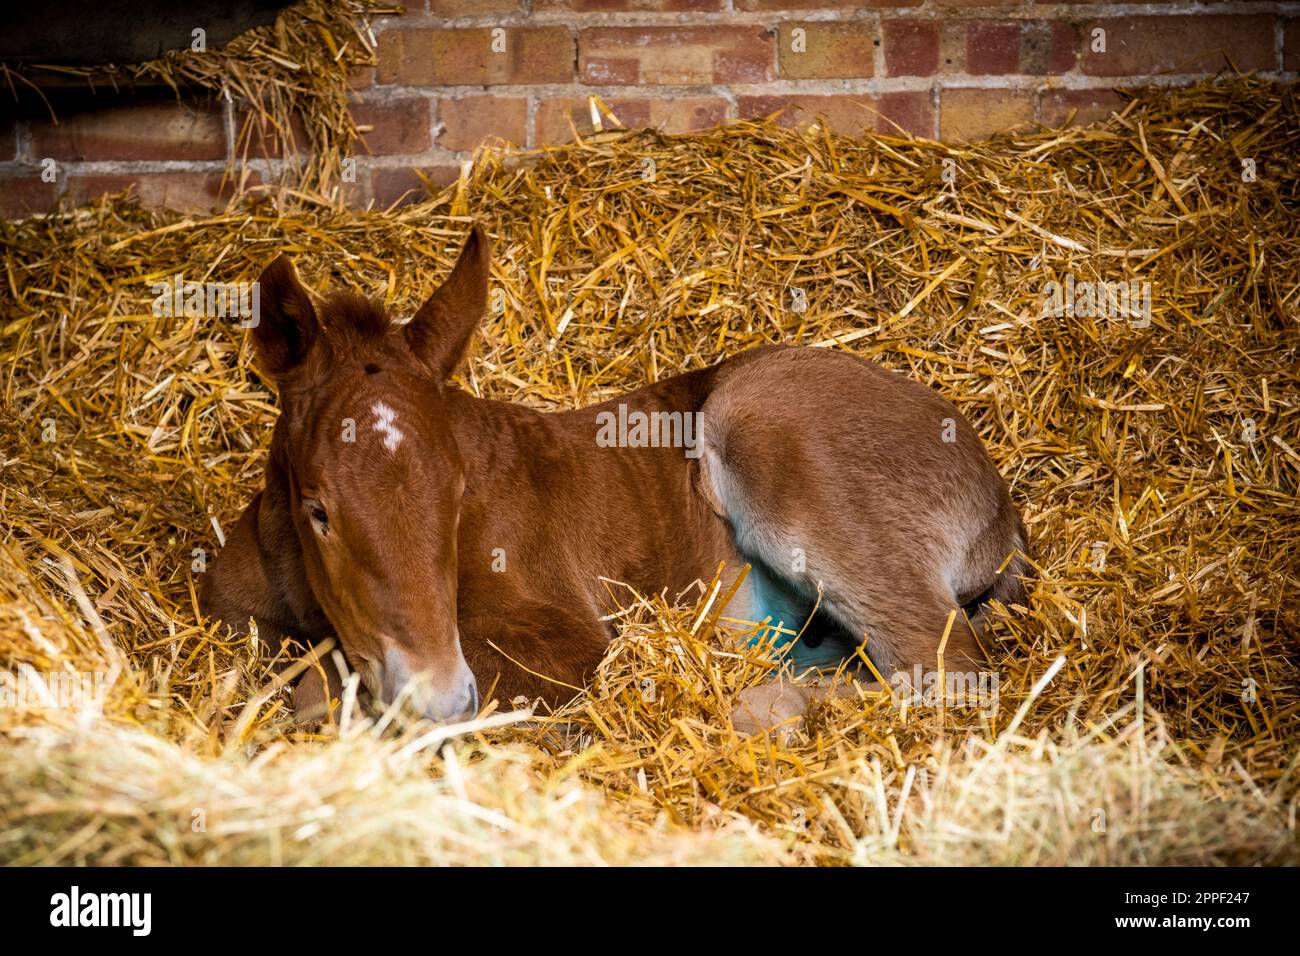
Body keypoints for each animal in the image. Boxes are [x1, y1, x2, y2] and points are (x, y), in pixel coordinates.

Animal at [200, 224, 1029, 730]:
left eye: (460, 494)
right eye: (318, 509)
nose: (438, 696)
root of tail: (997, 498)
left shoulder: (563, 636)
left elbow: (321, 687)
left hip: (773, 436)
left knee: (946, 668)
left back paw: (762, 710)